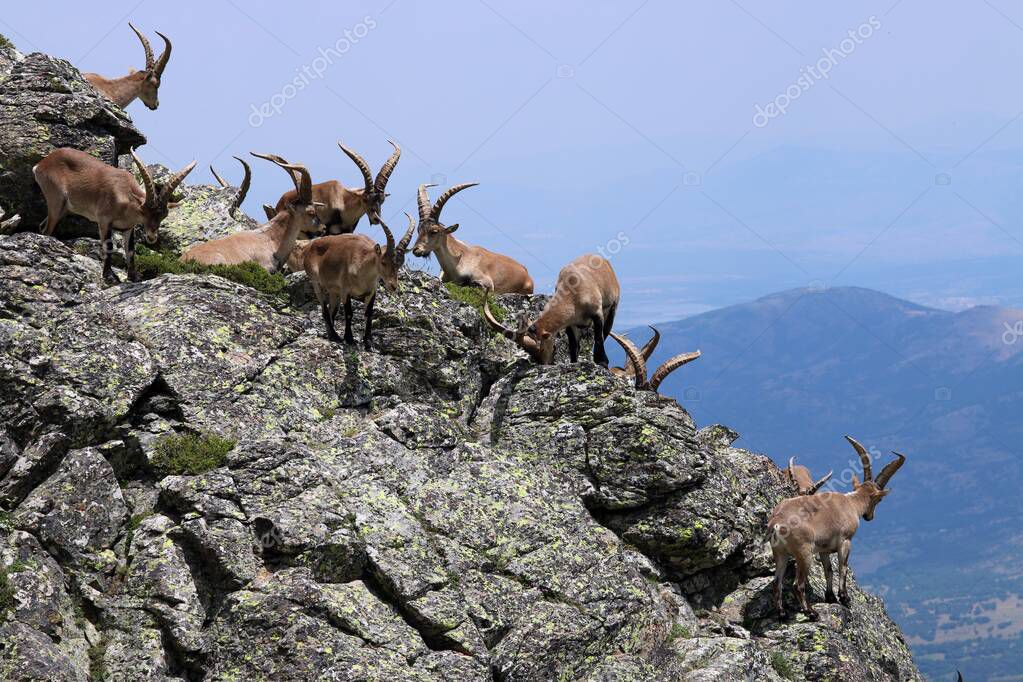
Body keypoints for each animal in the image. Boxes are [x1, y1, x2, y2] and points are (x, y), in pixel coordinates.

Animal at [33, 148, 195, 283]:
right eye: (144, 212)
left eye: (164, 216)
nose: (151, 237)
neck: (125, 199)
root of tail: (41, 164)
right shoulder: (104, 221)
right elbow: (109, 246)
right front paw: (109, 276)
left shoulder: (128, 228)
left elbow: (130, 251)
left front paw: (133, 277)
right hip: (55, 198)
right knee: (47, 230)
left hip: (63, 208)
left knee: (42, 226)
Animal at [304, 213, 415, 349]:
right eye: (383, 262)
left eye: (400, 264)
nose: (393, 286)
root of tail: (310, 248)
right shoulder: (345, 291)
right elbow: (349, 313)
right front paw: (349, 339)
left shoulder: (371, 292)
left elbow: (369, 314)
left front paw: (368, 342)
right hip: (316, 283)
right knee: (324, 311)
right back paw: (336, 337)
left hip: (334, 292)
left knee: (332, 312)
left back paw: (331, 335)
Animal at [482, 254, 618, 366]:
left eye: (548, 347)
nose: (544, 362)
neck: (573, 295)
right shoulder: (571, 323)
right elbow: (573, 345)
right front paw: (573, 362)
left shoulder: (597, 313)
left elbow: (599, 338)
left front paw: (602, 362)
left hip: (612, 309)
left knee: (605, 332)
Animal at [767, 435, 905, 620]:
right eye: (879, 500)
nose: (869, 517)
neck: (851, 503)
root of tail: (777, 521)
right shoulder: (845, 541)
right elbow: (842, 567)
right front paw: (844, 598)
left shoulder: (824, 549)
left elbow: (829, 570)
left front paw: (830, 597)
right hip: (804, 552)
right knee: (797, 584)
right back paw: (811, 612)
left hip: (780, 552)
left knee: (777, 583)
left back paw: (782, 613)